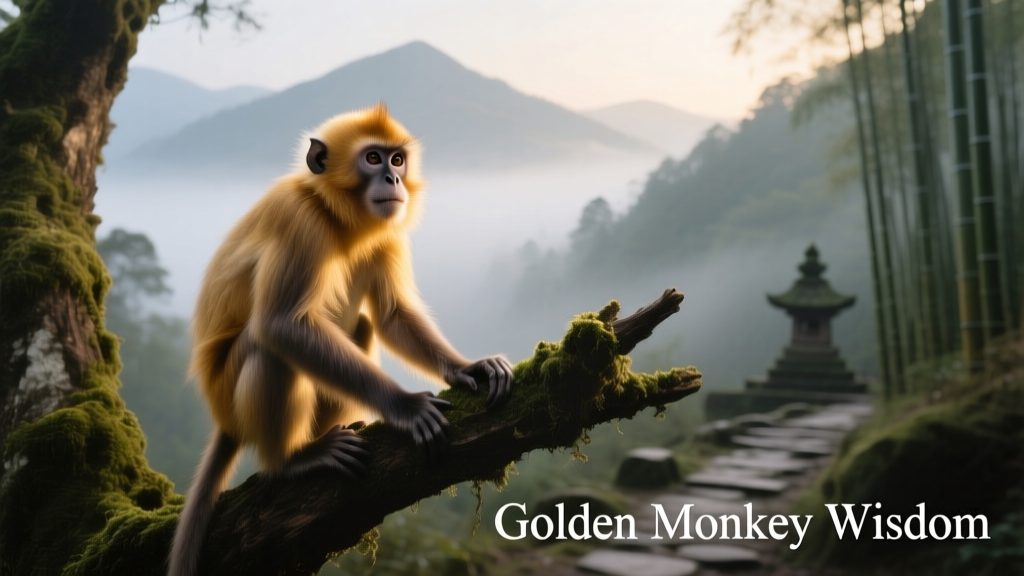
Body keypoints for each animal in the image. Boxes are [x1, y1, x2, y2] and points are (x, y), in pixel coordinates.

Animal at [168, 103, 514, 576]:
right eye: (373, 158)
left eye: (397, 159)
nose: (393, 180)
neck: (332, 211)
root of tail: (224, 417)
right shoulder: (299, 220)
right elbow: (282, 325)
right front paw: (406, 408)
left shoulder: (386, 229)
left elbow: (391, 315)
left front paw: (468, 367)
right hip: (228, 389)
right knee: (270, 348)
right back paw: (290, 461)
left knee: (361, 325)